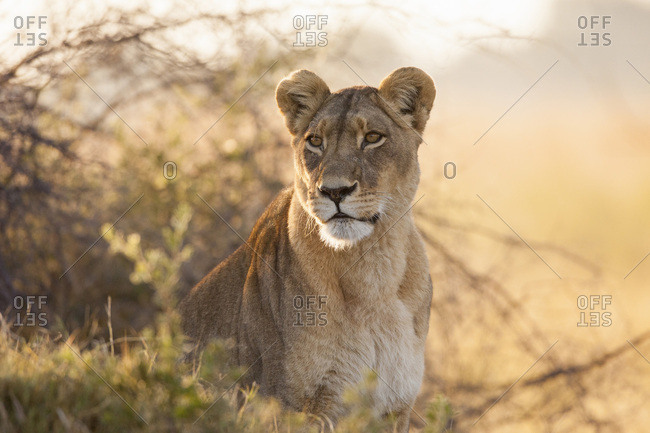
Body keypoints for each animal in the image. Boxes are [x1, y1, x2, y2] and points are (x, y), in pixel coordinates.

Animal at [179, 67, 435, 432]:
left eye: (373, 137)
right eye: (315, 141)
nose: (335, 191)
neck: (371, 270)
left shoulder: (394, 406)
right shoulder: (289, 403)